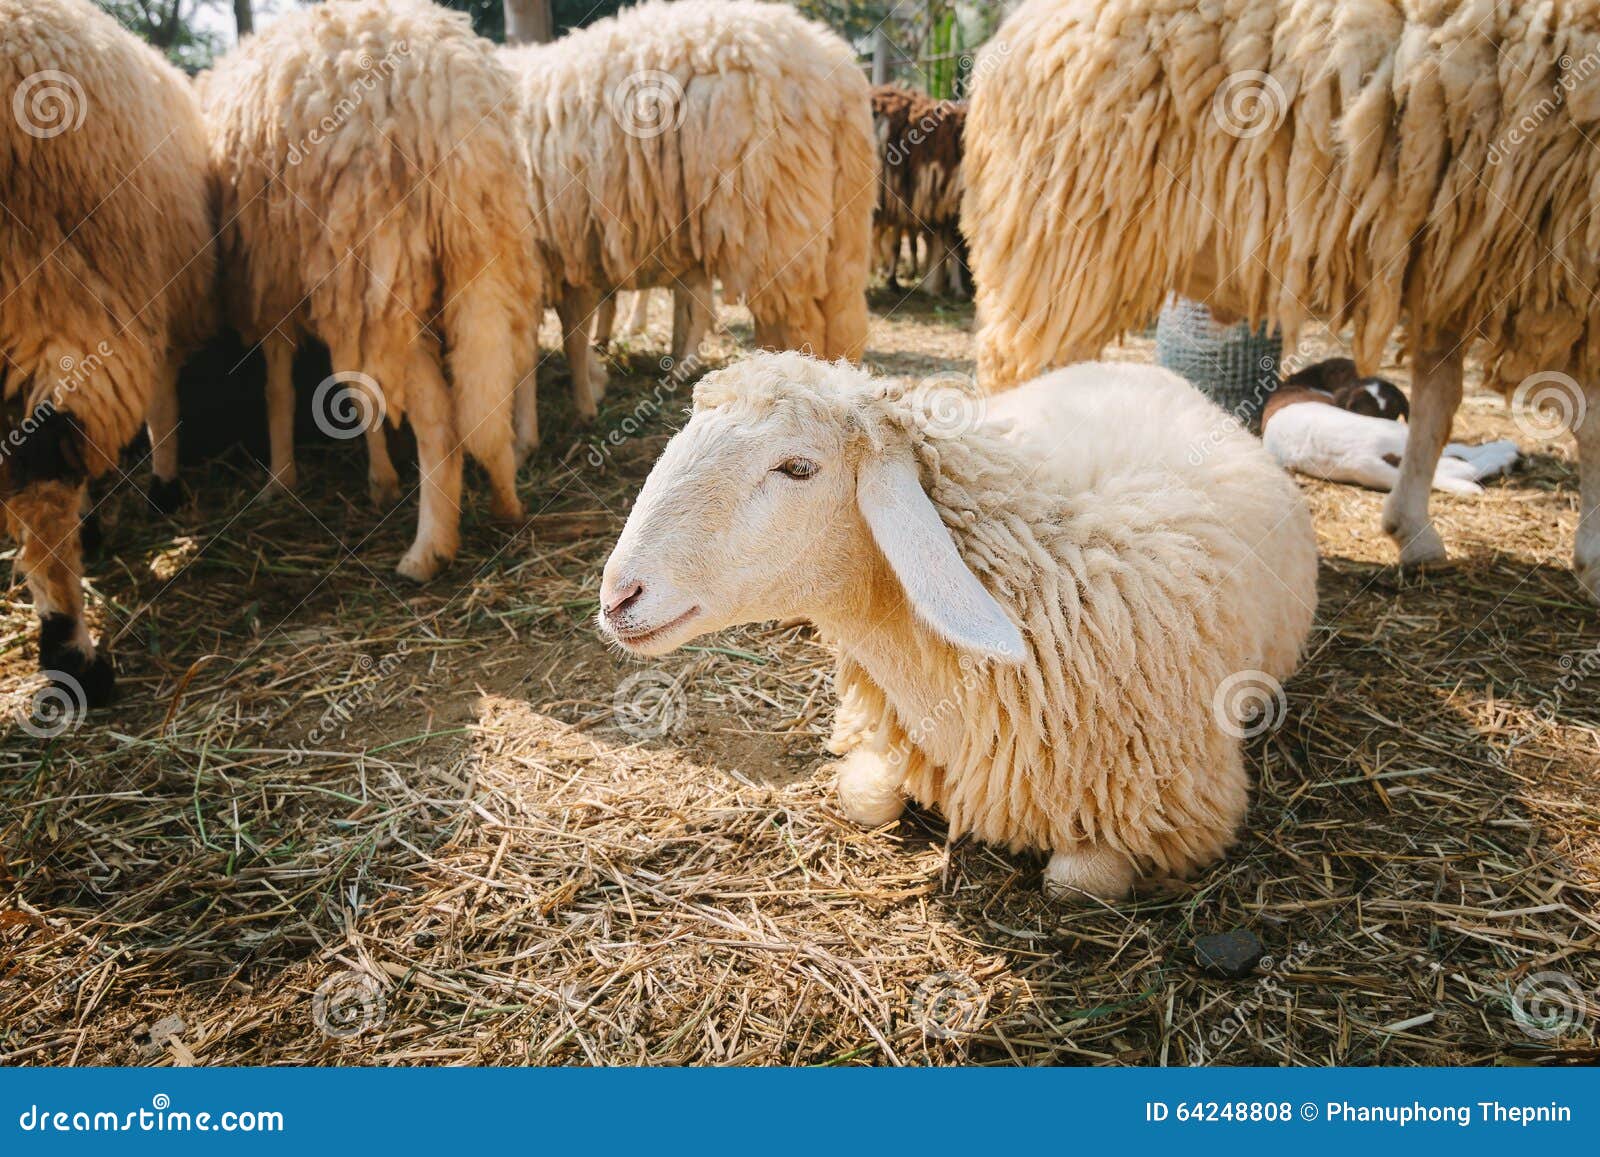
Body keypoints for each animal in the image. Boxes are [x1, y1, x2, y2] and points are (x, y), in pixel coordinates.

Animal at [1, 0, 216, 706]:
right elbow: (161, 397)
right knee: (43, 470)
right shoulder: (149, 297)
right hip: (66, 287)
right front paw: (164, 488)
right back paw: (73, 653)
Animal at [205, 0, 538, 581]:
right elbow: (362, 396)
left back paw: (427, 551)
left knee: (441, 421)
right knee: (485, 392)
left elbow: (280, 385)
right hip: (483, 248)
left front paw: (281, 479)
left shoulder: (274, 282)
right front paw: (381, 477)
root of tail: (445, 87)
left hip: (381, 263)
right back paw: (505, 499)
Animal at [597, 351, 1318, 899]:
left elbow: (1075, 879)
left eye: (797, 468)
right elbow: (865, 796)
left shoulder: (1173, 806)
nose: (617, 596)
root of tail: (1141, 365)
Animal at [964, 0, 1600, 599]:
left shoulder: (1452, 267)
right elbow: (1587, 421)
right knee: (1026, 374)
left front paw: (1413, 530)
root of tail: (1011, 34)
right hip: (1065, 237)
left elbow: (1438, 406)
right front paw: (1592, 559)